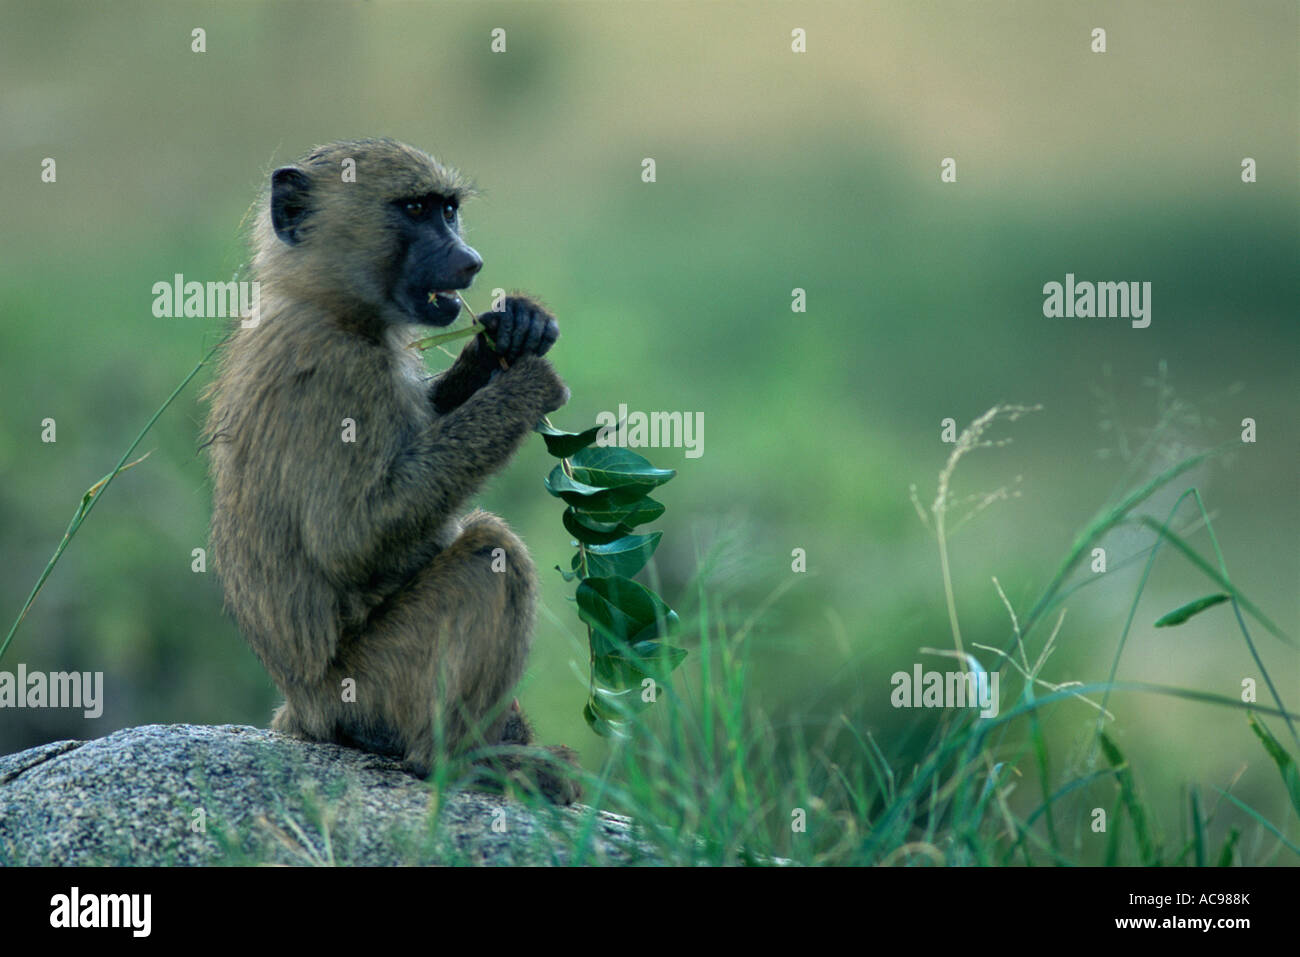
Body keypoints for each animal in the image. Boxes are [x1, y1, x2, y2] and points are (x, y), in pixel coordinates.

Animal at [203, 138, 580, 803]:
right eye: (414, 209)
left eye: (448, 209)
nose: (470, 262)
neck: (328, 306)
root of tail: (305, 712)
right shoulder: (336, 379)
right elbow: (351, 538)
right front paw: (528, 385)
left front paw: (512, 331)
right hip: (372, 687)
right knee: (492, 555)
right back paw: (460, 763)